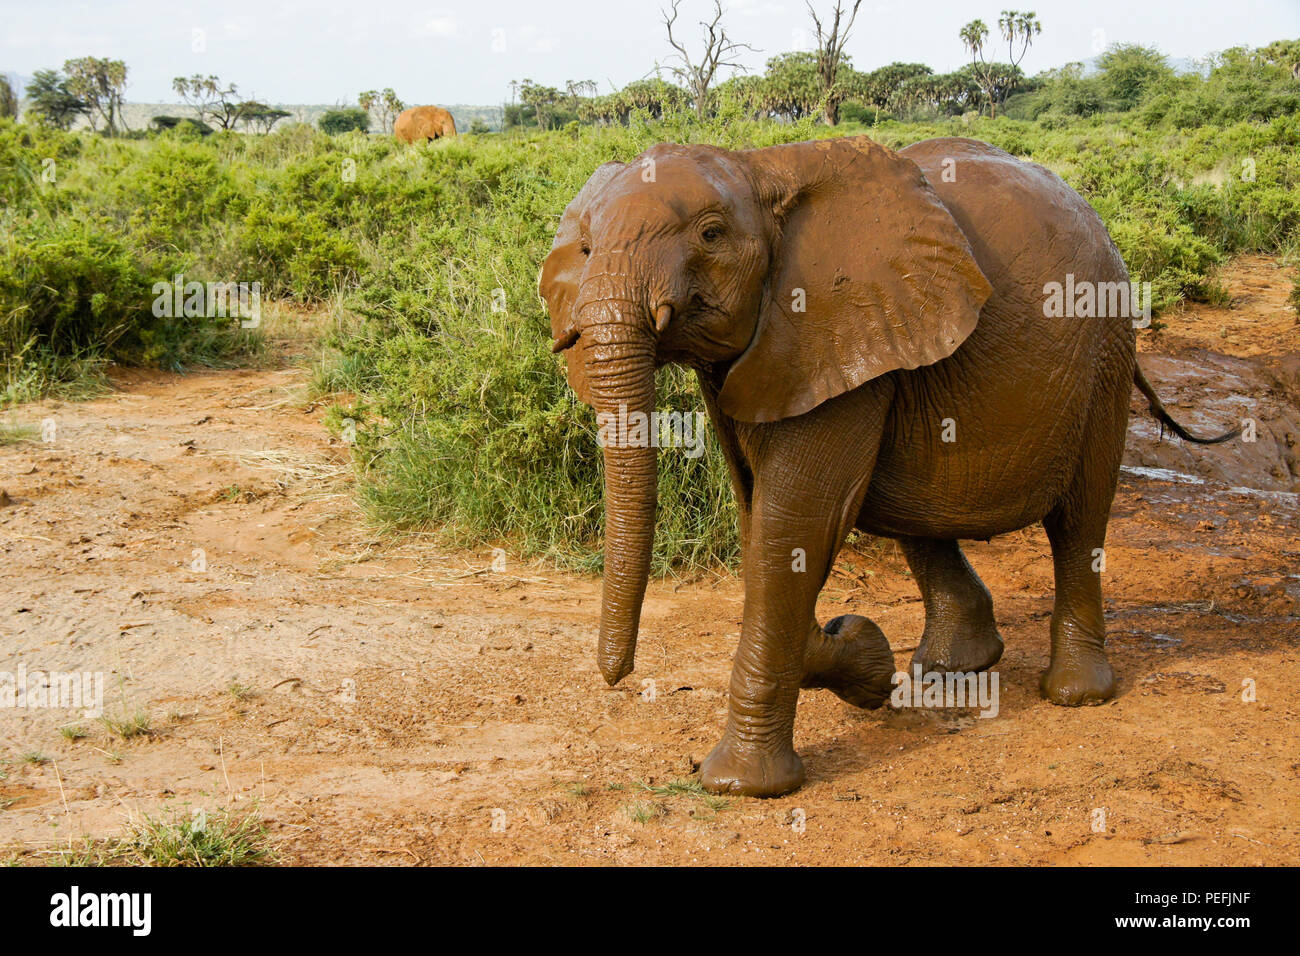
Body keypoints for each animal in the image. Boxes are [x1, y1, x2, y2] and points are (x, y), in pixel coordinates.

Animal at [539, 135, 1235, 797]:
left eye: (711, 235)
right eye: (586, 247)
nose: (618, 675)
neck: (760, 168)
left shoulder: (828, 323)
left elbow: (792, 526)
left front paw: (743, 784)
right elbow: (761, 519)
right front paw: (862, 659)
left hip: (1105, 348)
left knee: (1079, 520)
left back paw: (1074, 693)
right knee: (921, 513)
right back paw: (952, 671)